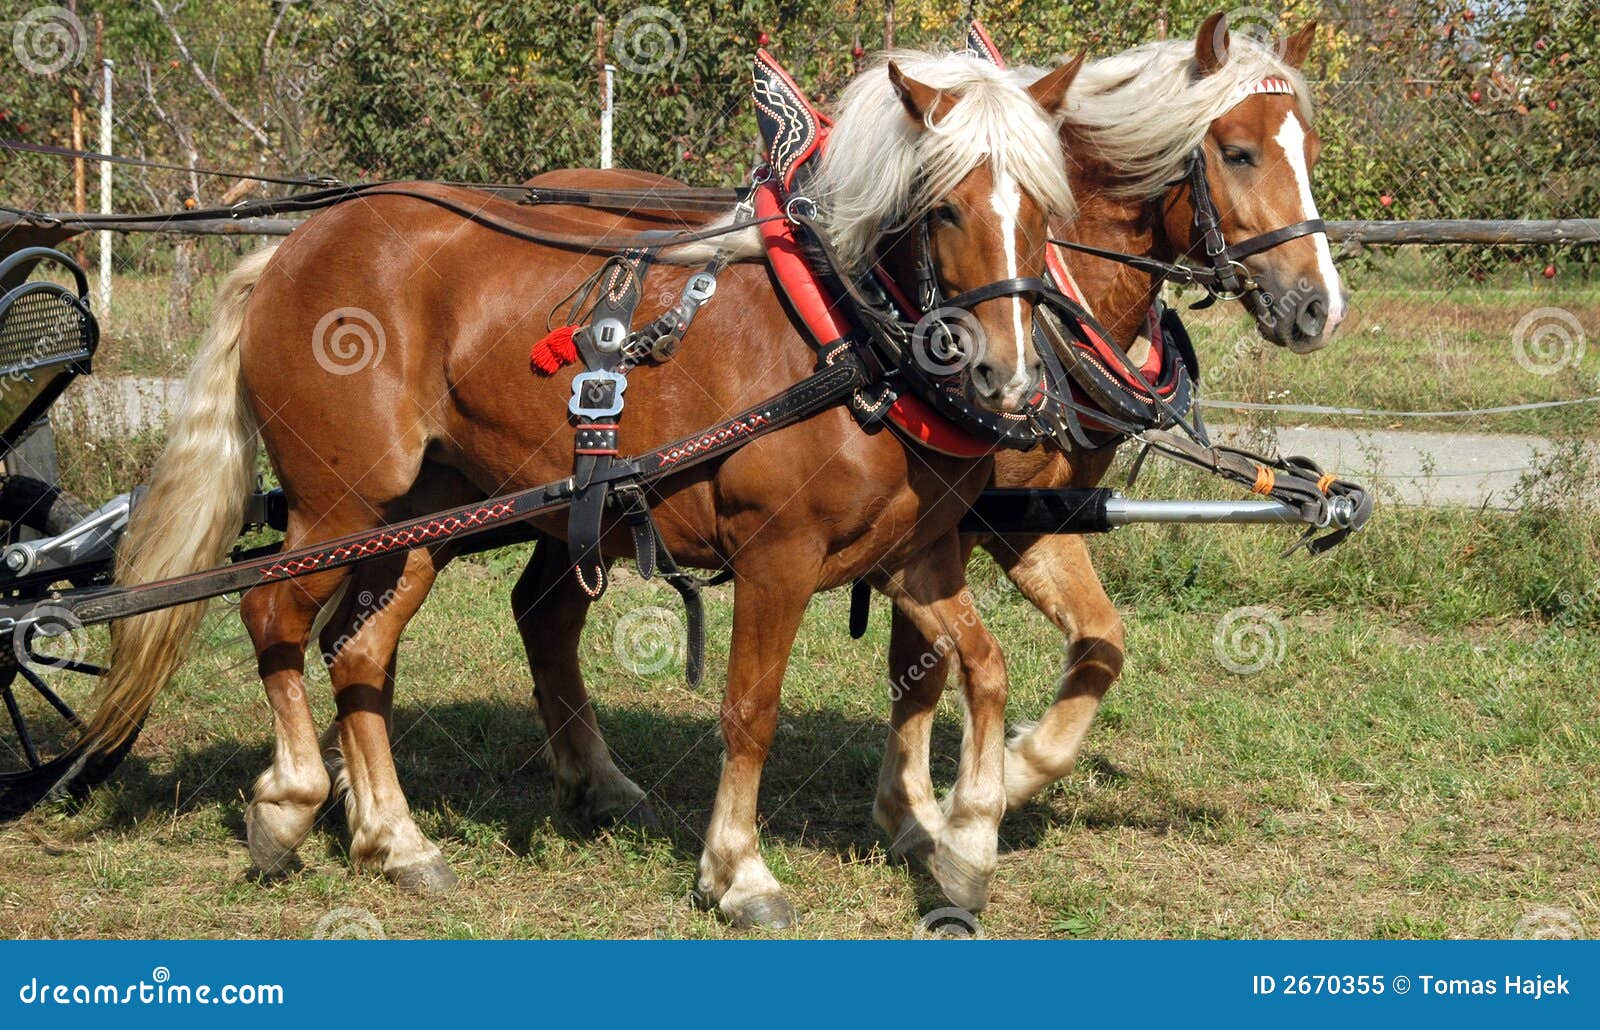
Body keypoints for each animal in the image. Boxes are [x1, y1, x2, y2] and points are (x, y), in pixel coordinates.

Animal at [76, 49, 1082, 929]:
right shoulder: (777, 559)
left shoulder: (916, 554)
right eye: (945, 210)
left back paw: (395, 841)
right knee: (273, 619)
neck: (845, 337)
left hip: (416, 524)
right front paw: (739, 873)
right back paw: (290, 801)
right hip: (338, 506)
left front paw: (968, 841)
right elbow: (749, 712)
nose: (1006, 379)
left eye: (1042, 207)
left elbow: (985, 667)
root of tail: (293, 248)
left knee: (359, 655)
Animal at [880, 15, 1347, 830]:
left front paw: (1016, 768)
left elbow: (1103, 640)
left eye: (1311, 152)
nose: (1320, 306)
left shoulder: (1034, 519)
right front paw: (923, 809)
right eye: (1239, 152)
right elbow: (922, 665)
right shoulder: (937, 526)